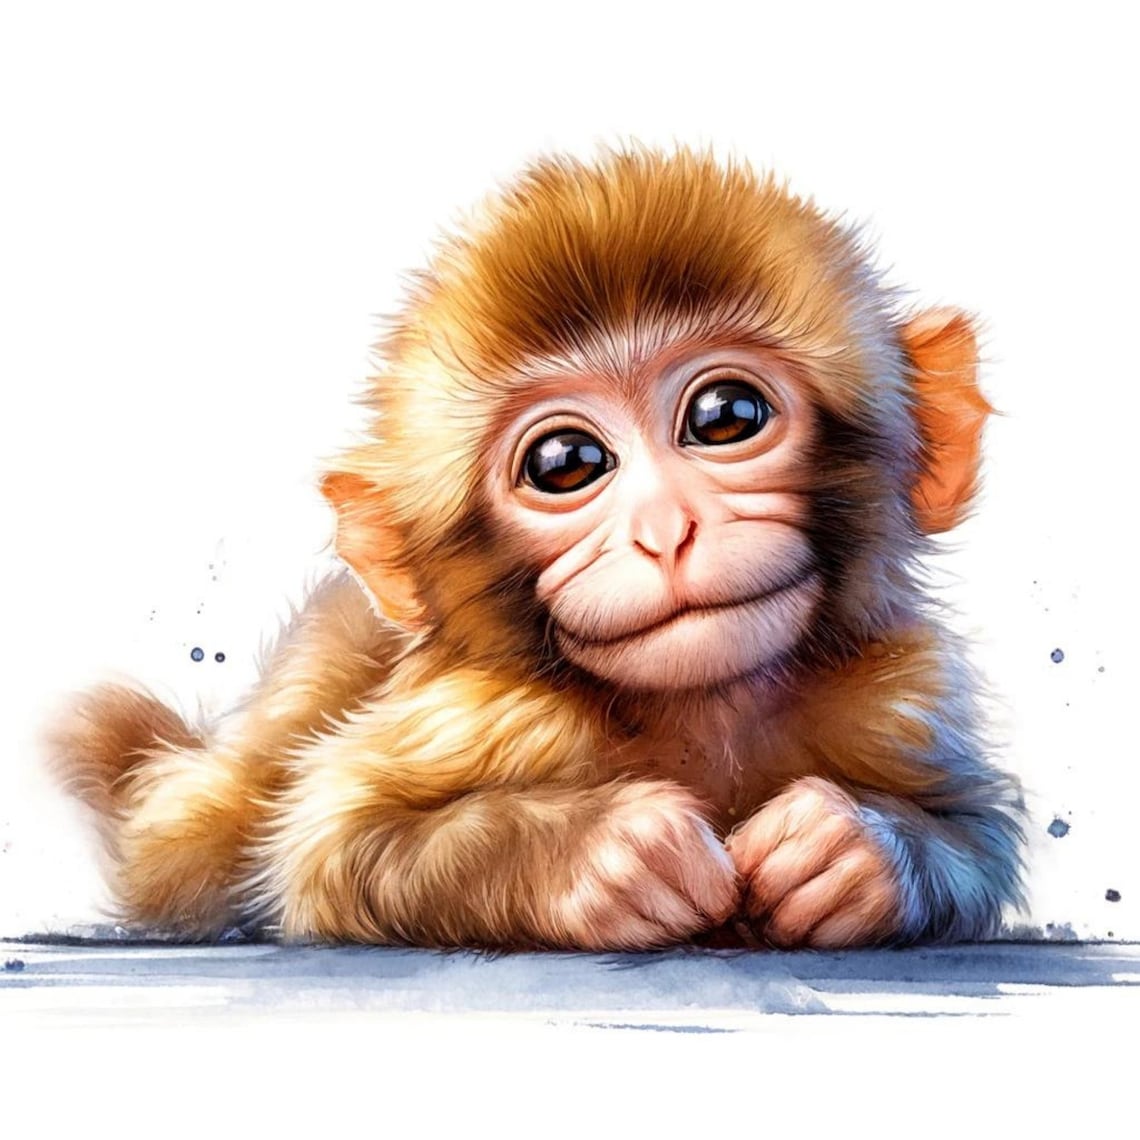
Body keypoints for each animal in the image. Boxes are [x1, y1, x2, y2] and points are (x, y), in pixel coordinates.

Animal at [47, 147, 1024, 951]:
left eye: (727, 415)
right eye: (566, 464)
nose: (665, 529)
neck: (696, 717)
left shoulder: (897, 693)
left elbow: (977, 829)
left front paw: (853, 851)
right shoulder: (478, 714)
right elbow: (333, 852)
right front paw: (597, 856)